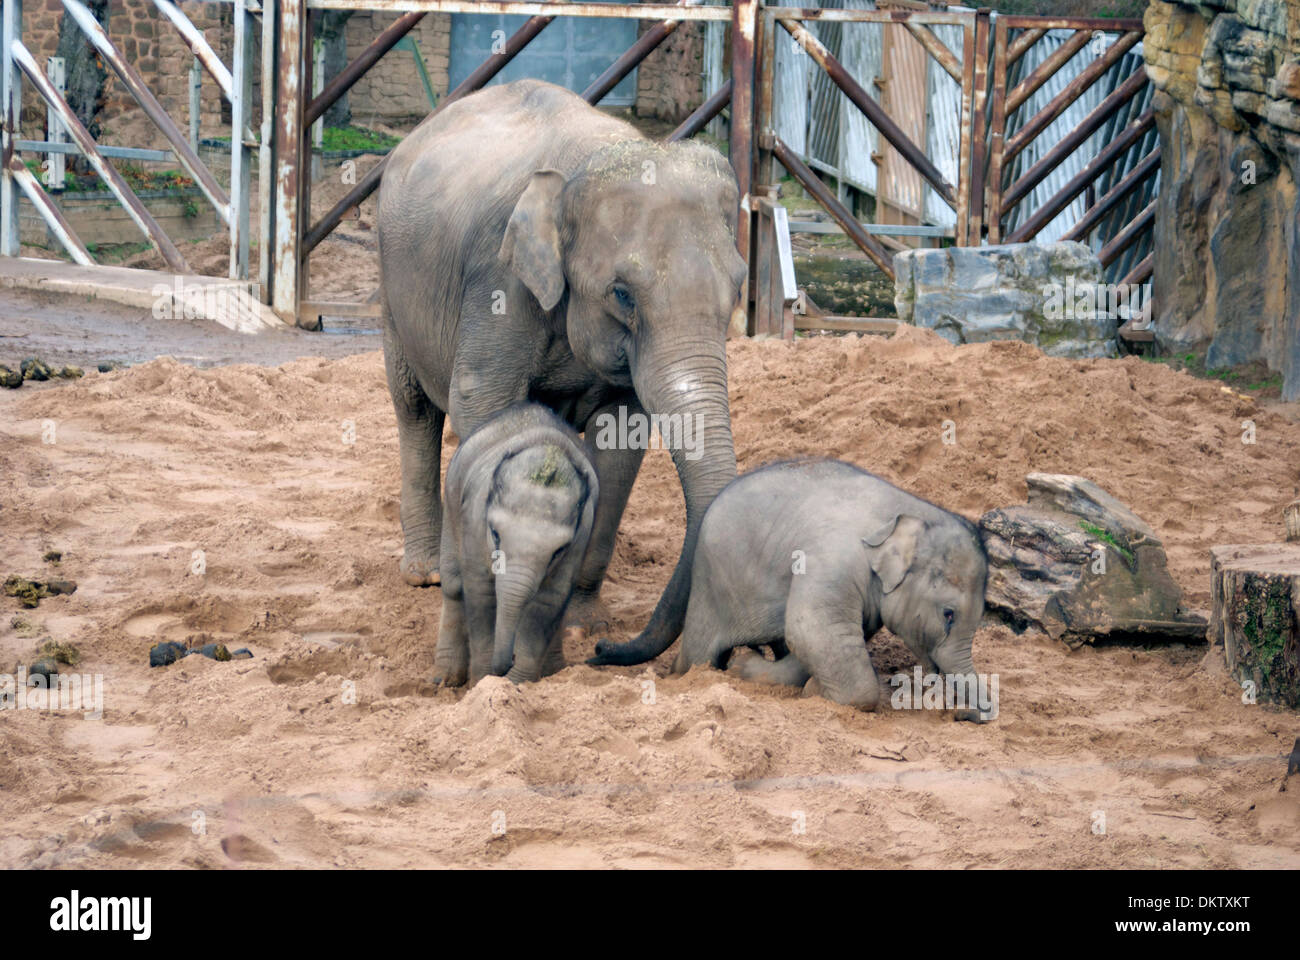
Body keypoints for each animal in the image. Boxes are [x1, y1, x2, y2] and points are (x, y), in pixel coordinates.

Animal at [434, 405, 599, 686]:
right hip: (453, 500)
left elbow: (547, 603)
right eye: (495, 534)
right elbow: (480, 593)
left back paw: (555, 671)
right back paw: (444, 679)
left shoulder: (581, 535)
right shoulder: (474, 520)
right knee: (453, 584)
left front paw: (517, 683)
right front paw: (483, 682)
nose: (507, 660)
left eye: (558, 551)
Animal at [672, 459, 992, 721]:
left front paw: (802, 685)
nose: (962, 713)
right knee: (698, 654)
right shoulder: (833, 560)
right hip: (710, 588)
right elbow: (809, 629)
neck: (908, 510)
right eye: (948, 614)